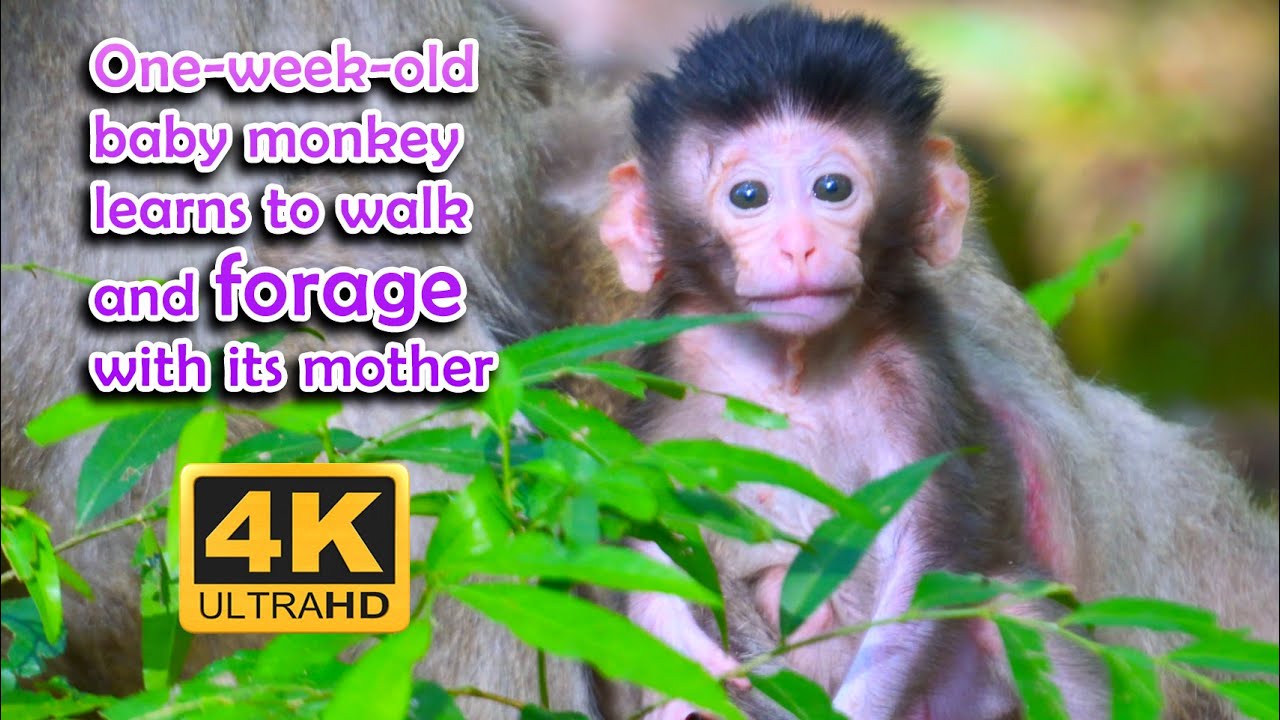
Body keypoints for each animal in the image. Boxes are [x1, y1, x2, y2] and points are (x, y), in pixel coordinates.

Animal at [592, 9, 1110, 719]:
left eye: (832, 189)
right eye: (749, 195)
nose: (799, 245)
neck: (790, 369)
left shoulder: (911, 373)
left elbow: (922, 558)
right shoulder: (675, 368)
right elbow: (649, 518)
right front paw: (689, 651)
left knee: (1008, 610)